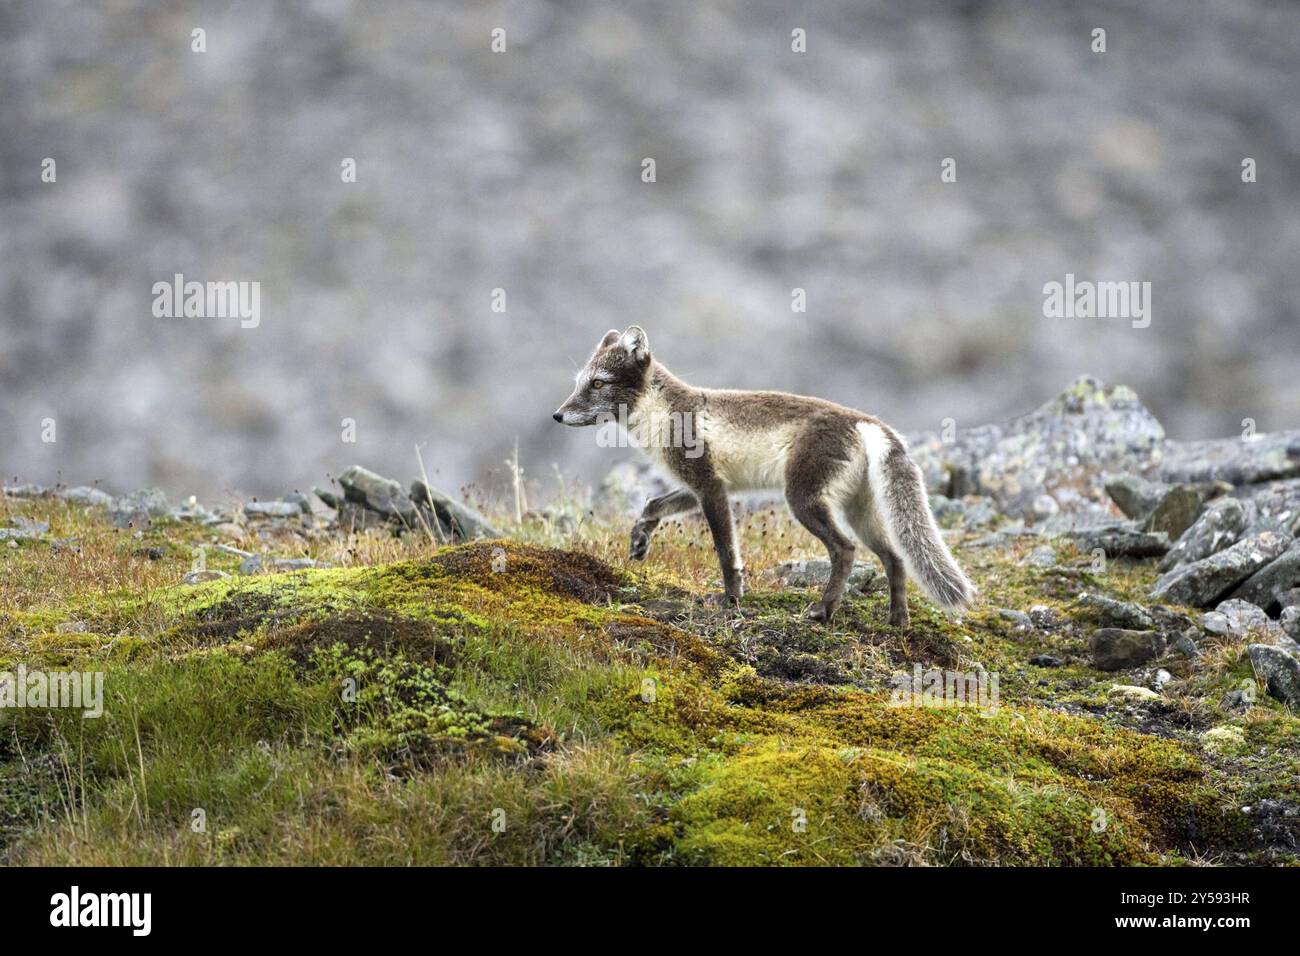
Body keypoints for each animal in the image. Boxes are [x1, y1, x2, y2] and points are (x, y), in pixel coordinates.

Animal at [553, 326, 974, 625]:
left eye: (598, 383)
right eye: (579, 382)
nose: (557, 415)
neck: (662, 413)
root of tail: (867, 422)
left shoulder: (709, 485)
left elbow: (726, 551)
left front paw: (731, 598)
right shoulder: (701, 484)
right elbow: (654, 503)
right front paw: (640, 540)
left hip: (803, 500)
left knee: (845, 549)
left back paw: (823, 610)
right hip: (860, 510)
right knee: (894, 557)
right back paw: (898, 621)